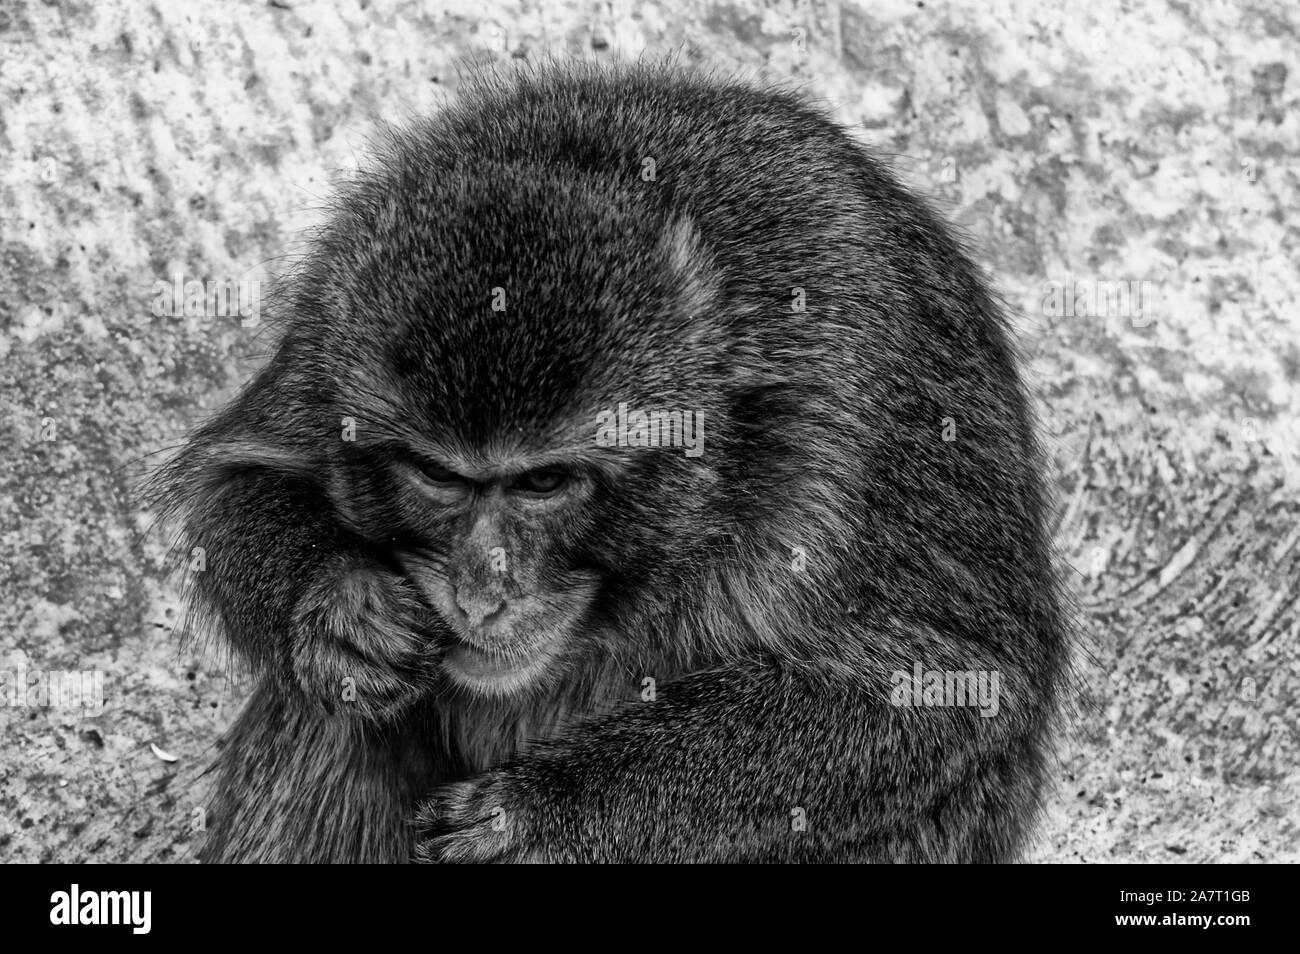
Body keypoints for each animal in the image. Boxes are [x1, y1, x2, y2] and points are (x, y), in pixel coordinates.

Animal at [149, 60, 1070, 863]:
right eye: (439, 476)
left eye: (545, 481)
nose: (482, 594)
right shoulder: (330, 312)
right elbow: (239, 482)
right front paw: (340, 610)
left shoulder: (843, 436)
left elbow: (943, 691)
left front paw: (543, 812)